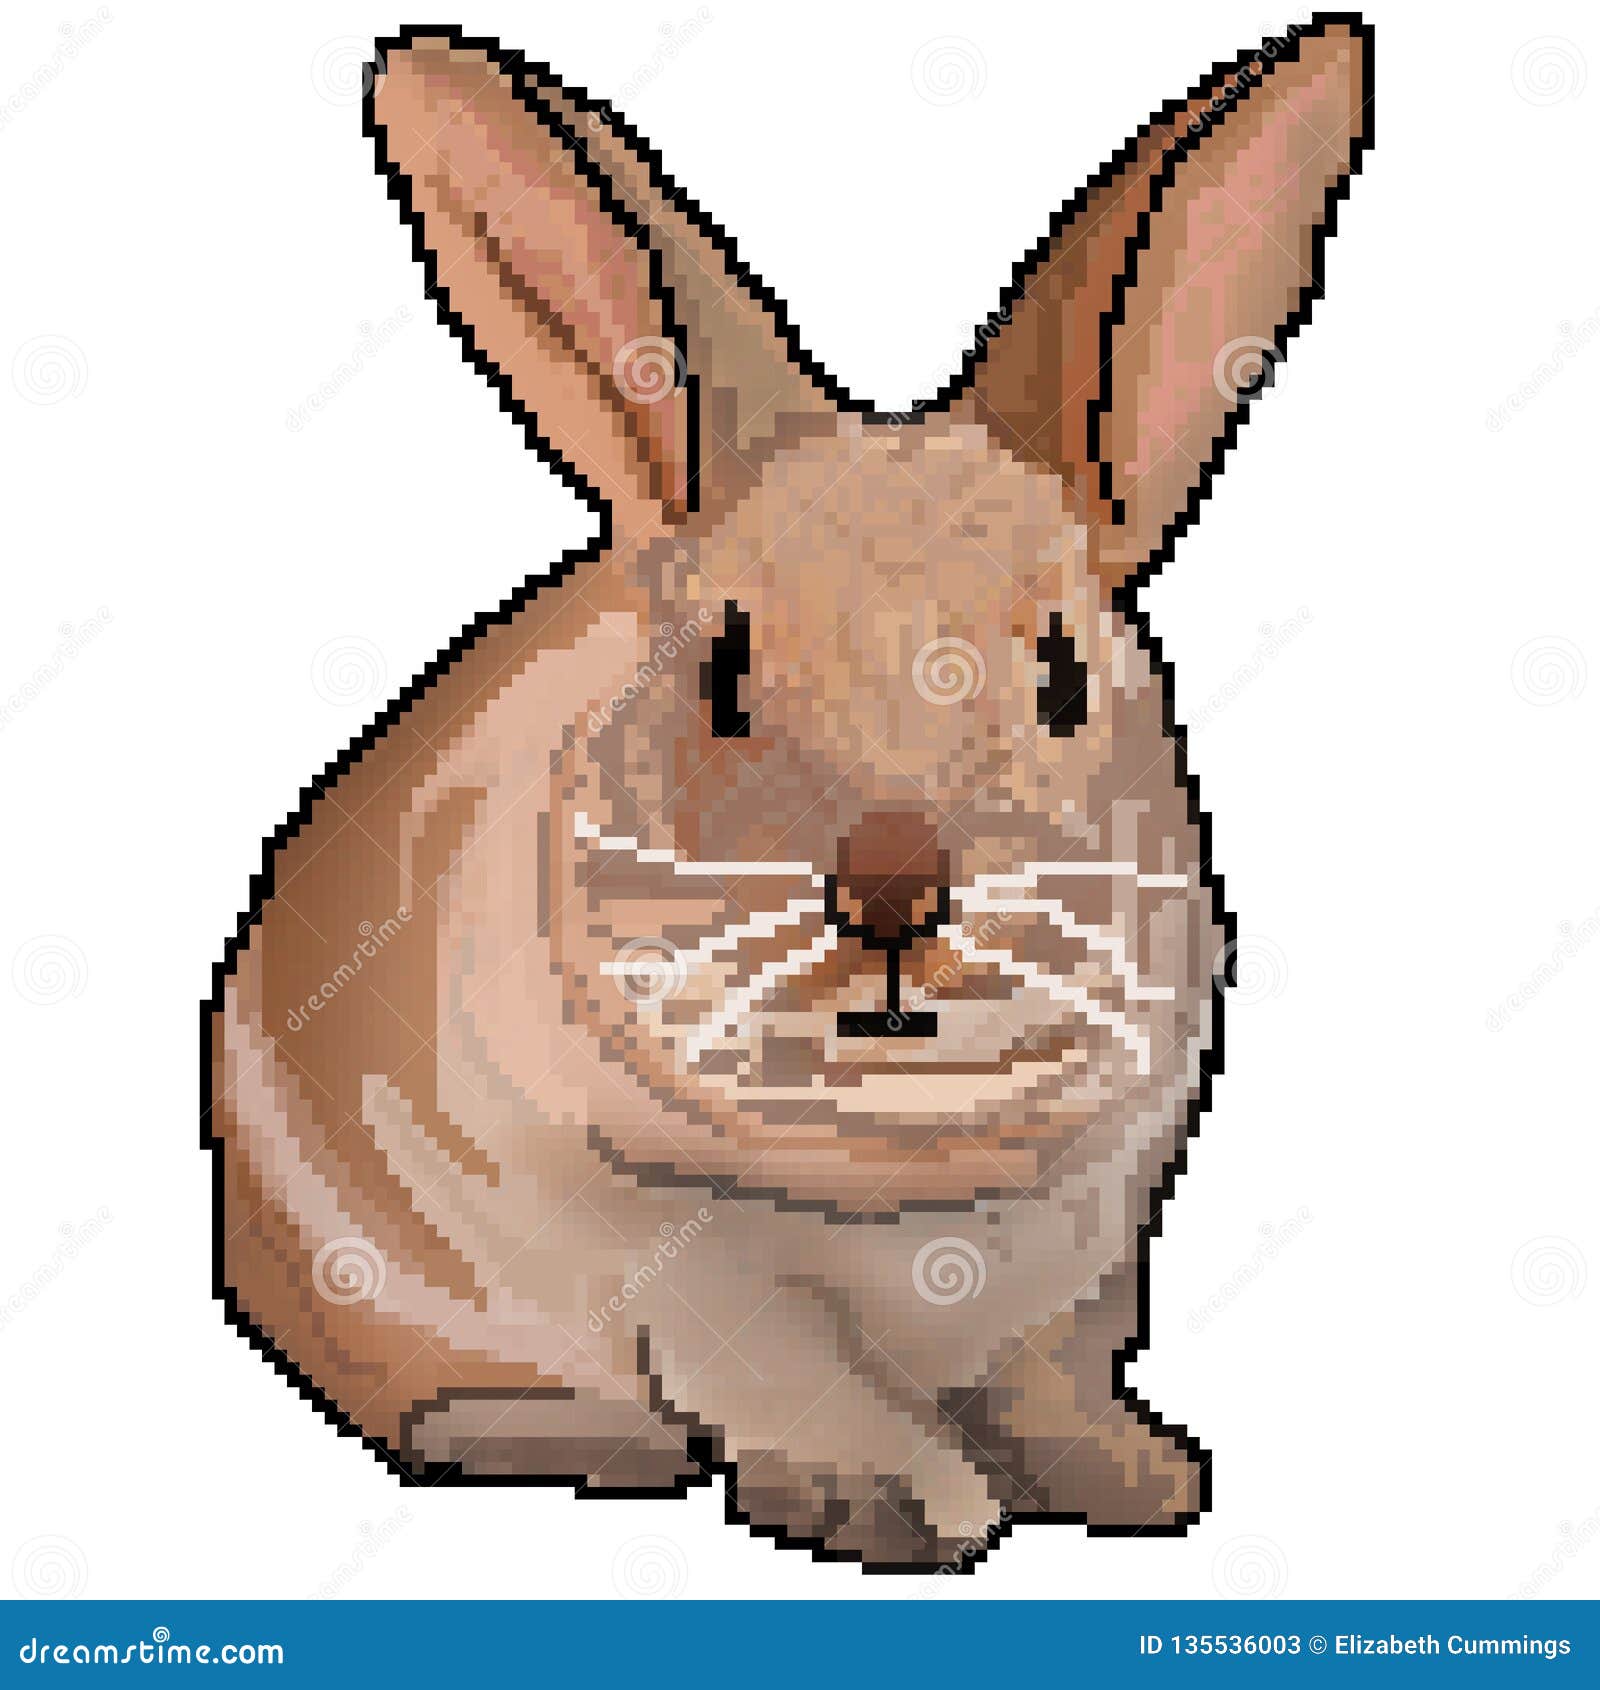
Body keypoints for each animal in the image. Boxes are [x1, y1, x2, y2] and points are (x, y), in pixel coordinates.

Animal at [204, 16, 1372, 1570]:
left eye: (1063, 674)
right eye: (723, 670)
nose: (891, 884)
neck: (912, 1137)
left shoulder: (1088, 1255)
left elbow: (1050, 1375)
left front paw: (1130, 1478)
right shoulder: (687, 1267)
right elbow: (803, 1383)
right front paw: (913, 1509)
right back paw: (547, 1434)